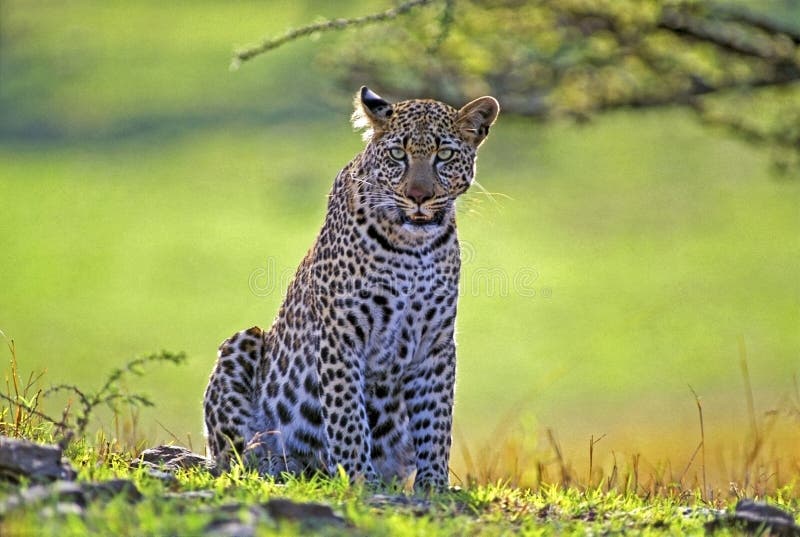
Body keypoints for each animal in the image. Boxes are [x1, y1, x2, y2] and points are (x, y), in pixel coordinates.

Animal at [203, 86, 499, 491]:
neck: (413, 246)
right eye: (398, 154)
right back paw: (275, 464)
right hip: (243, 343)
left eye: (445, 155)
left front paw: (435, 485)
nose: (419, 196)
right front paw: (360, 478)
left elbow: (436, 420)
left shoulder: (435, 340)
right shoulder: (342, 333)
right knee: (235, 459)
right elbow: (347, 414)